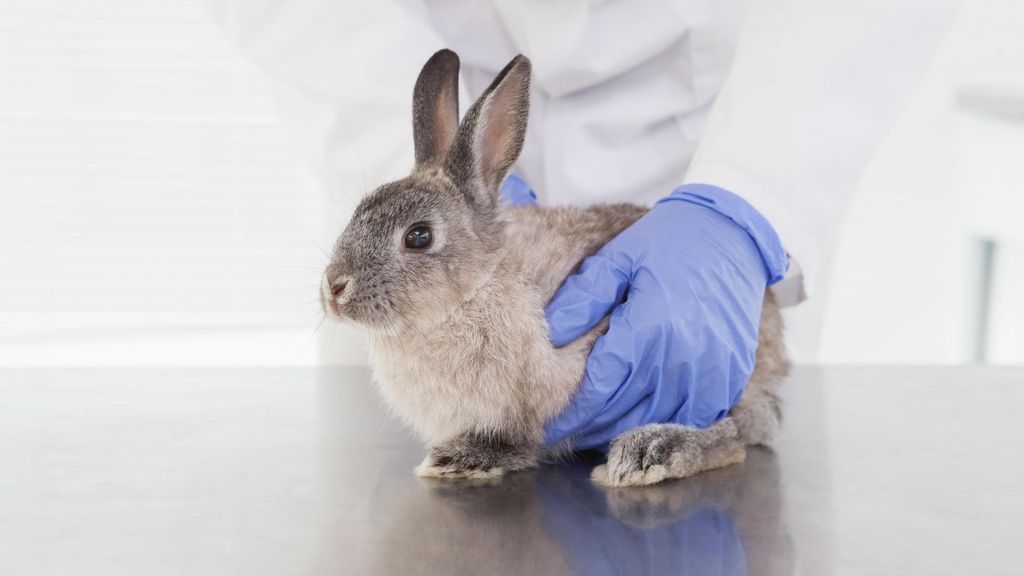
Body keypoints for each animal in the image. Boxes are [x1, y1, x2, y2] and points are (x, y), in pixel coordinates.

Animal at [320, 49, 789, 487]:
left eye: (418, 236)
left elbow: (518, 442)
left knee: (732, 435)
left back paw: (649, 451)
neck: (474, 289)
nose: (334, 290)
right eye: (360, 209)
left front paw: (462, 459)